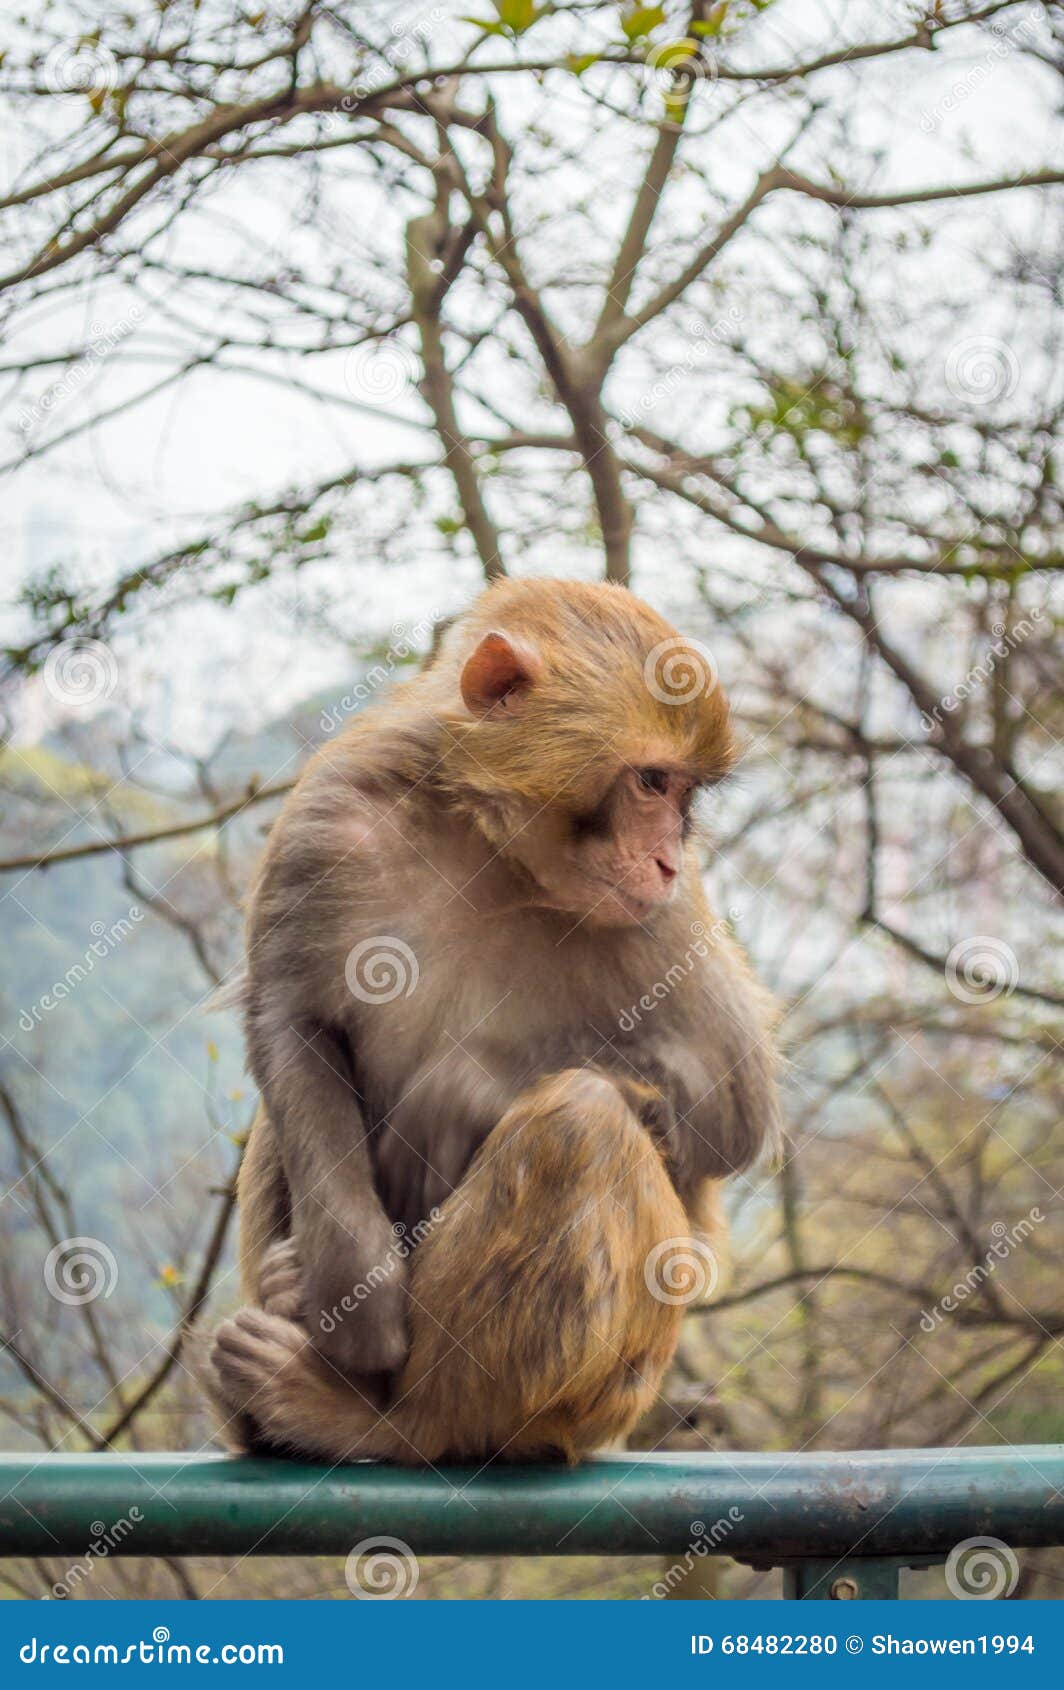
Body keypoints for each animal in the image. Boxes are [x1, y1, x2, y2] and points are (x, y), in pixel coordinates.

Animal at [205, 577, 781, 1465]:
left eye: (684, 793)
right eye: (653, 782)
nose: (668, 860)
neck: (492, 848)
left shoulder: (665, 920)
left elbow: (732, 1113)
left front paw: (455, 1095)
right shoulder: (330, 814)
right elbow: (293, 1021)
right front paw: (352, 1291)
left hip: (602, 1395)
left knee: (581, 1123)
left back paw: (381, 1422)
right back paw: (278, 1351)